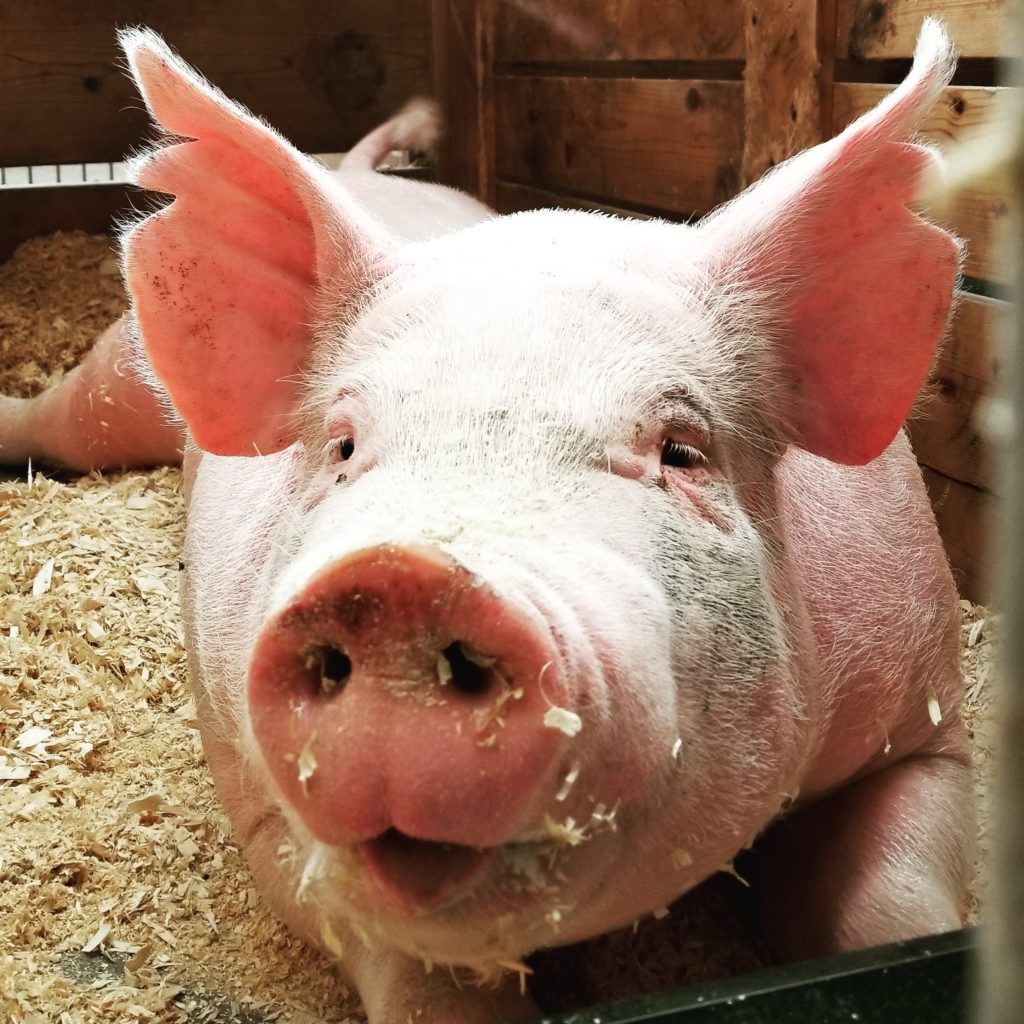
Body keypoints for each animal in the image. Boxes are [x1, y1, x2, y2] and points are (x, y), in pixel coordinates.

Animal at [0, 20, 974, 1023]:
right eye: (343, 445)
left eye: (682, 450)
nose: (400, 581)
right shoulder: (268, 815)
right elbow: (416, 973)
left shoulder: (927, 724)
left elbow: (900, 910)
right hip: (118, 375)